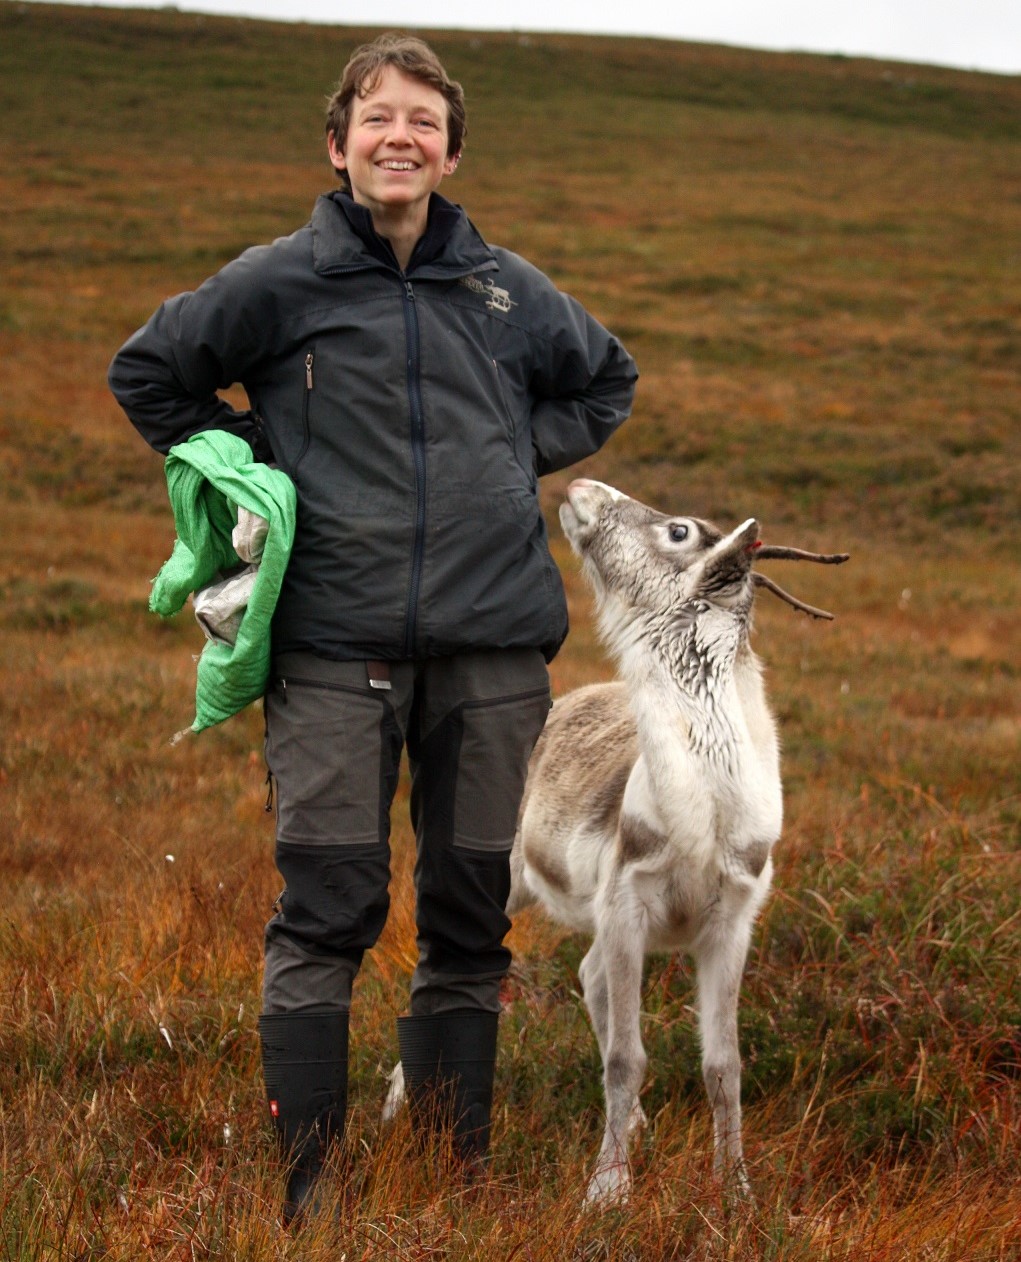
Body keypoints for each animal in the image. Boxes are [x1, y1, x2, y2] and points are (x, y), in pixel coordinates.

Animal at [385, 478, 847, 1205]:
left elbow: (723, 1064)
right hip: (514, 883)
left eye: (679, 530)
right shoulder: (628, 899)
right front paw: (607, 1190)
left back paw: (635, 1124)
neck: (706, 812)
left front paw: (736, 1191)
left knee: (589, 976)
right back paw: (394, 1109)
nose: (579, 486)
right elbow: (627, 1057)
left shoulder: (729, 919)